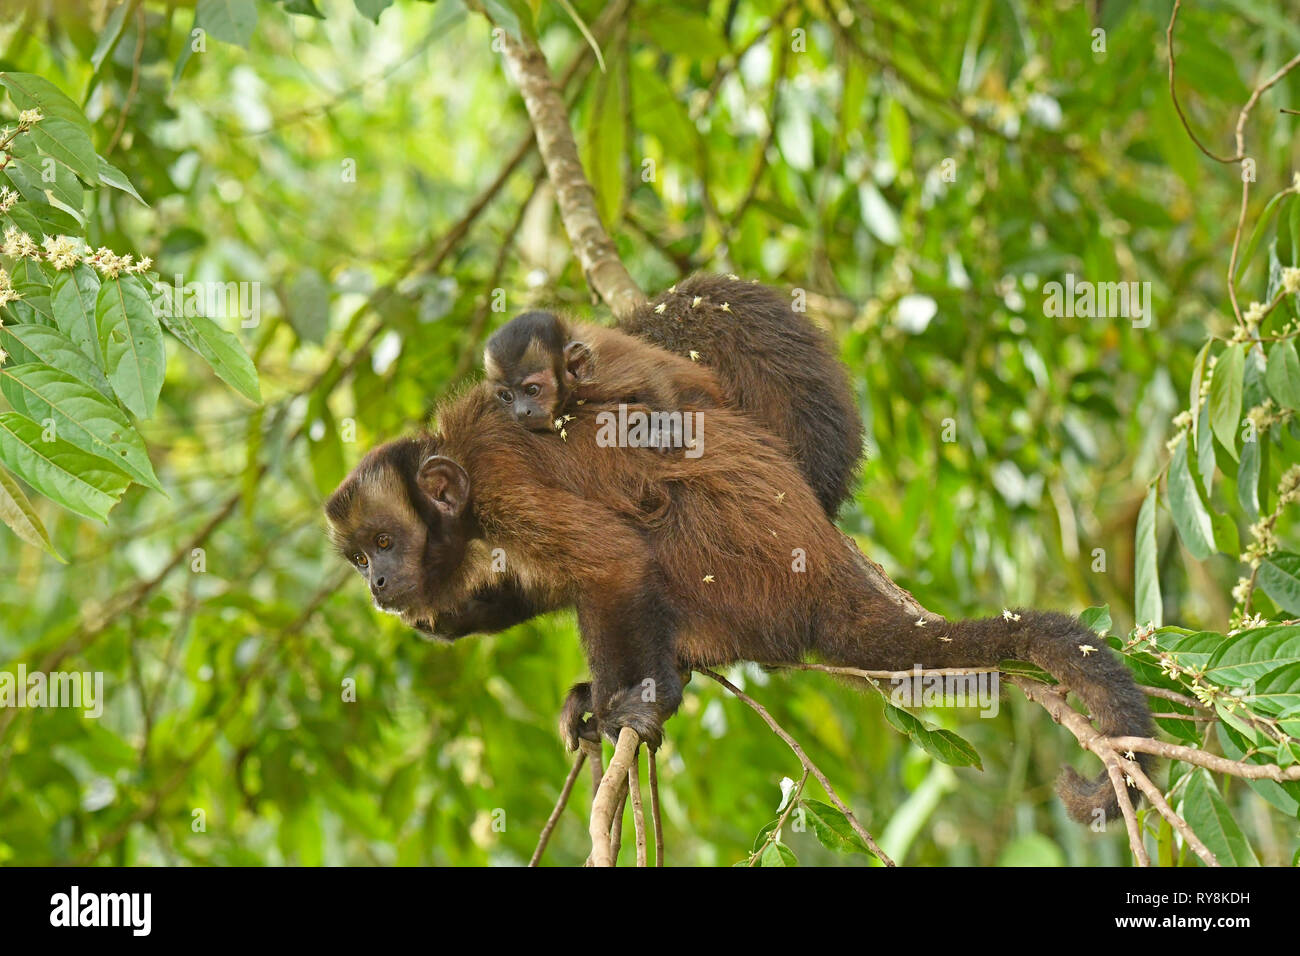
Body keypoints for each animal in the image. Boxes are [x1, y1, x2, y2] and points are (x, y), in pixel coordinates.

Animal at [325, 377, 1154, 824]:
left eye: (386, 541)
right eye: (360, 556)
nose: (376, 585)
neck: (459, 478)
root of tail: (828, 571)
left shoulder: (503, 488)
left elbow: (610, 564)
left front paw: (633, 705)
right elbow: (541, 584)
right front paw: (447, 619)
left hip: (749, 582)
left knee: (656, 522)